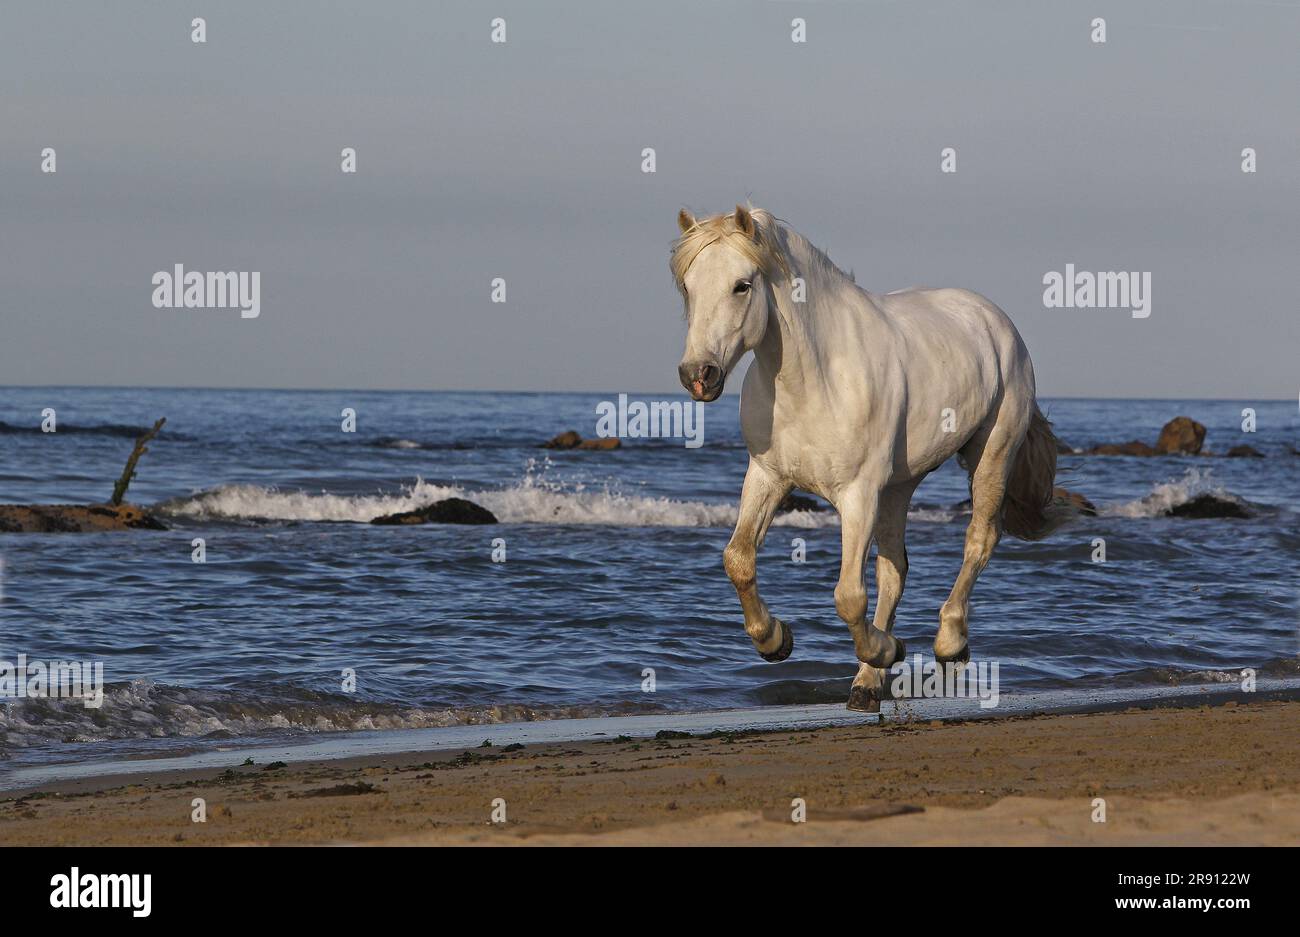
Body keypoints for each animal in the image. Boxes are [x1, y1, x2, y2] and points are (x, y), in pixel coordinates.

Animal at [671, 205, 1069, 712]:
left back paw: (948, 643)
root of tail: (995, 321)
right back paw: (867, 684)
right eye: (688, 285)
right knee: (894, 569)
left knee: (979, 540)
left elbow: (848, 596)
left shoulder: (858, 494)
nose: (698, 375)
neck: (813, 379)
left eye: (742, 285)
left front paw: (886, 649)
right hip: (898, 486)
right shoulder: (768, 477)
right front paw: (776, 641)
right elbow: (738, 560)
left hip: (991, 454)